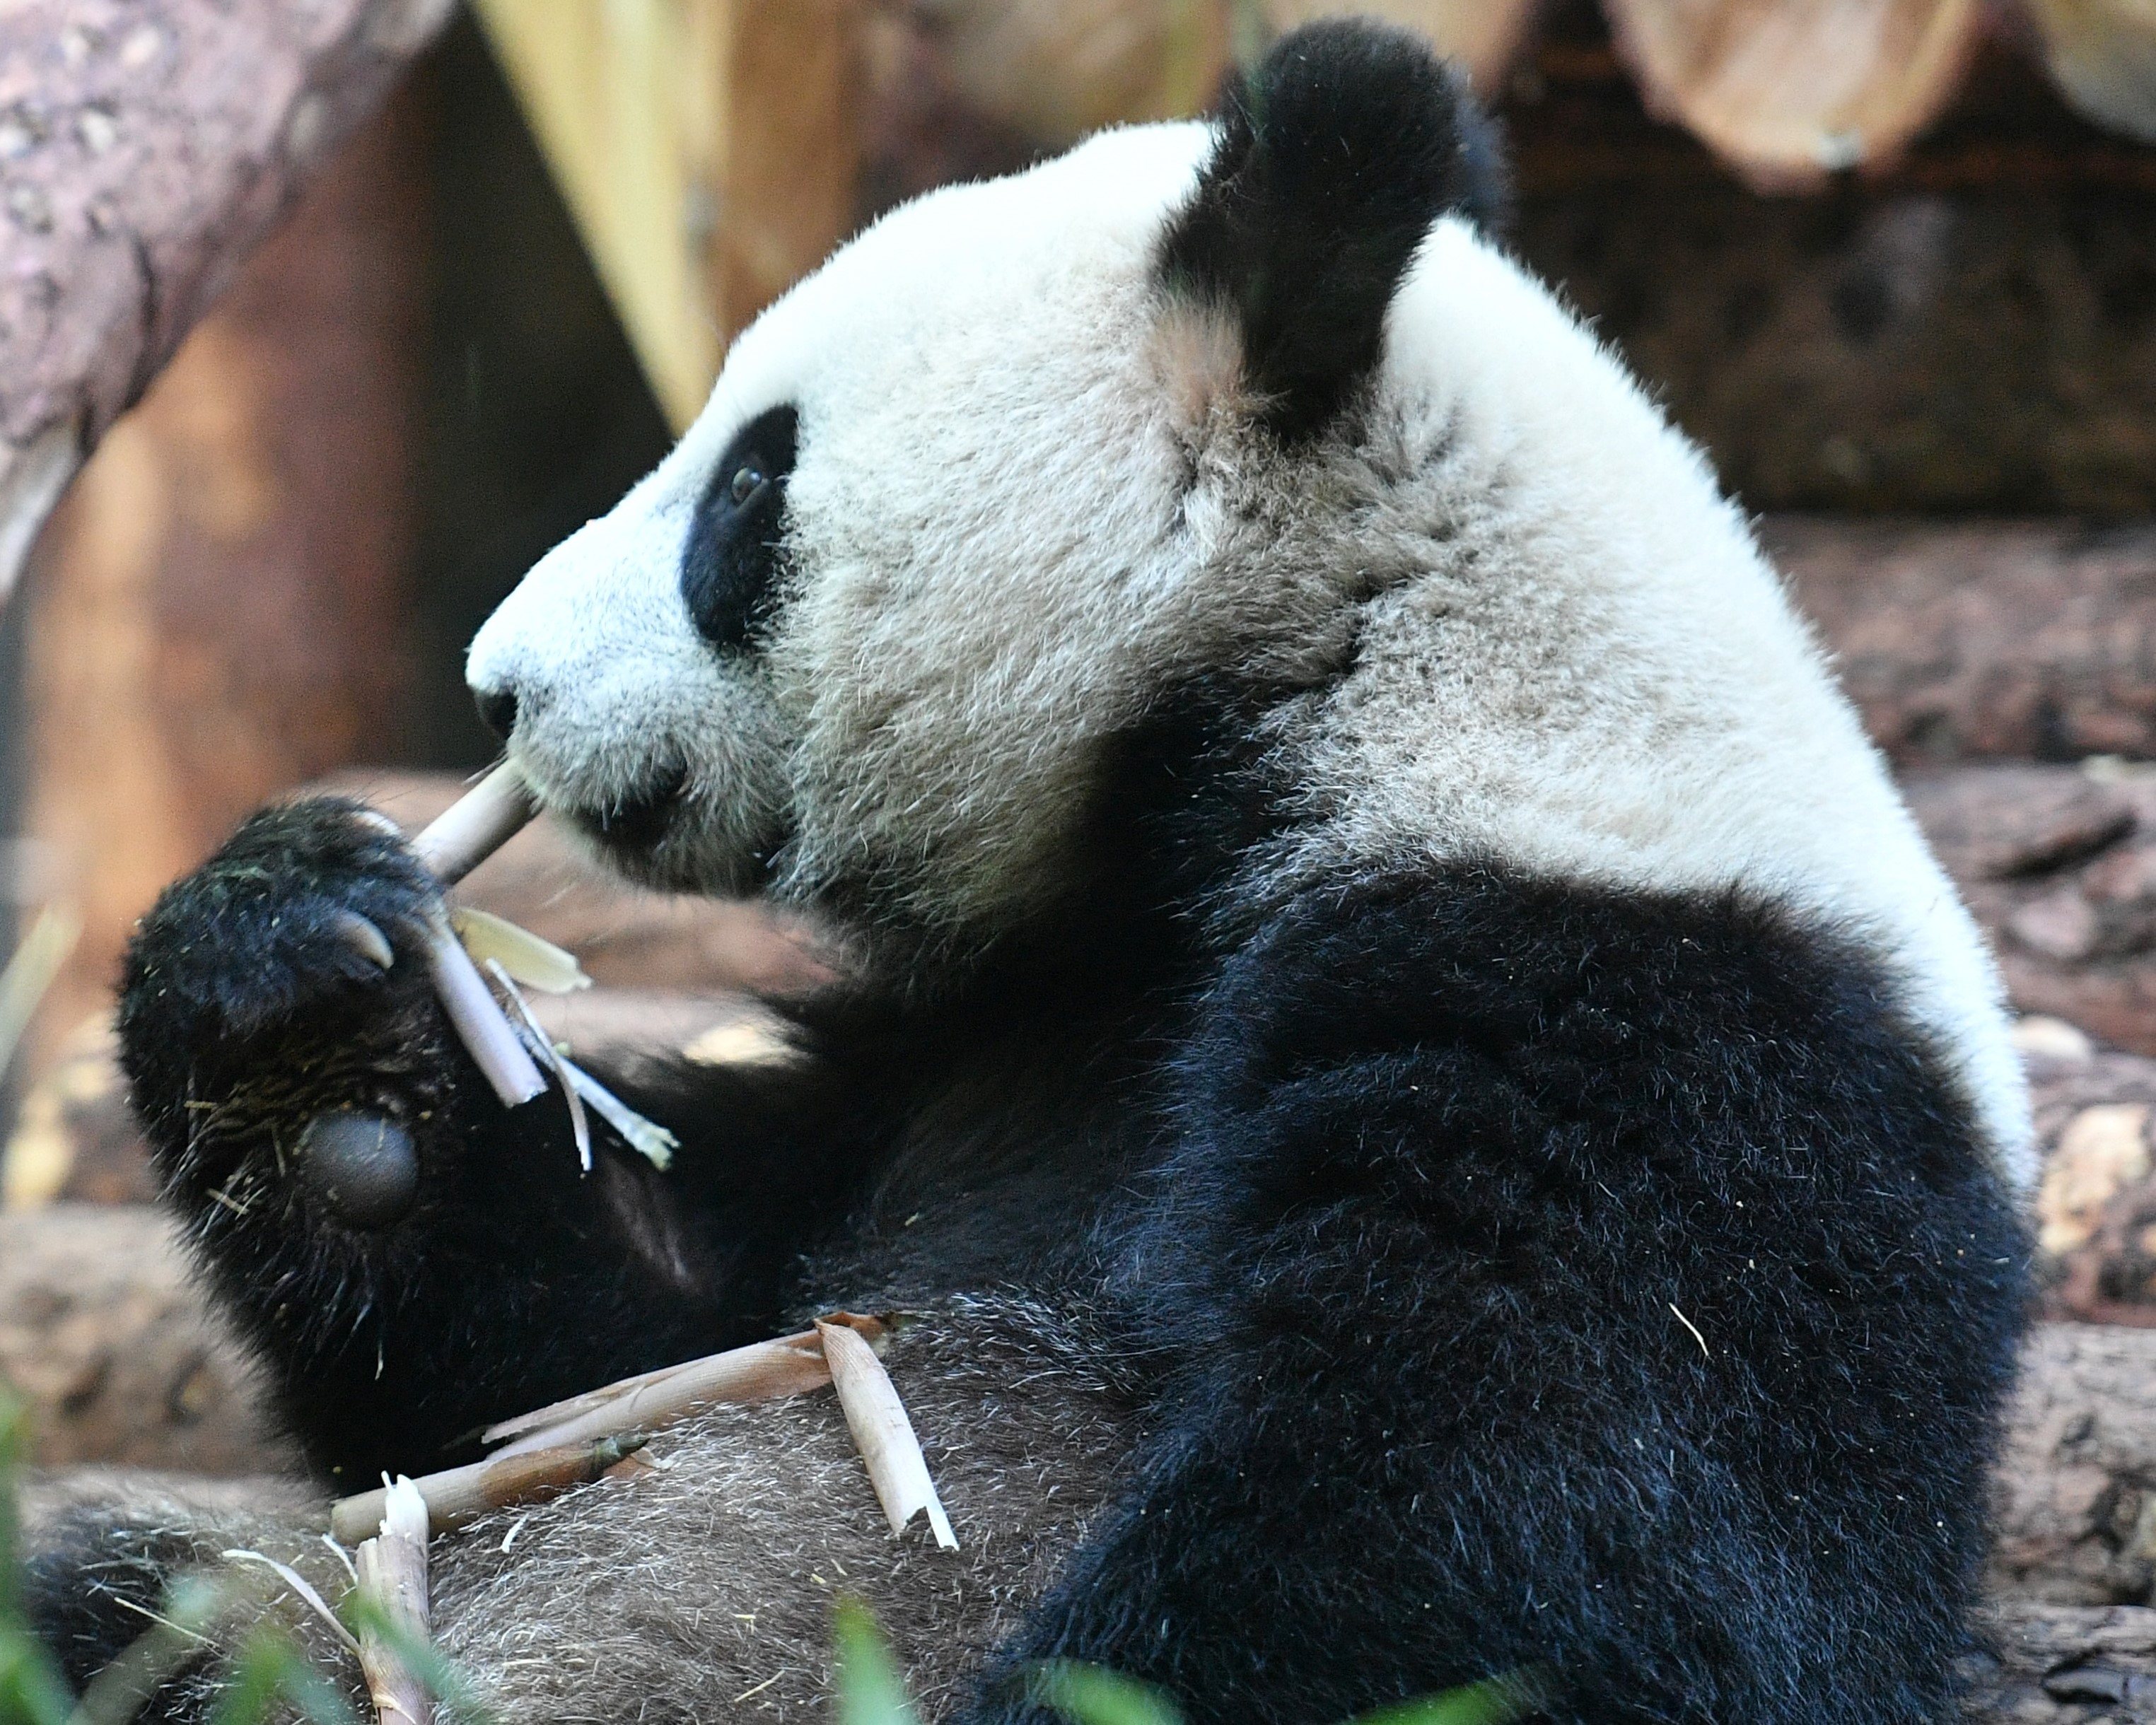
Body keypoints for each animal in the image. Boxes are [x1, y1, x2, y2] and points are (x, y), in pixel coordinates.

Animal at [25, 19, 2033, 1724]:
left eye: (748, 488)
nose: (499, 684)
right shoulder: (980, 1043)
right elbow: (589, 1358)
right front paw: (302, 993)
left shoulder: (1653, 1041)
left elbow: (1503, 1546)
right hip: (272, 1618)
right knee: (135, 1601)